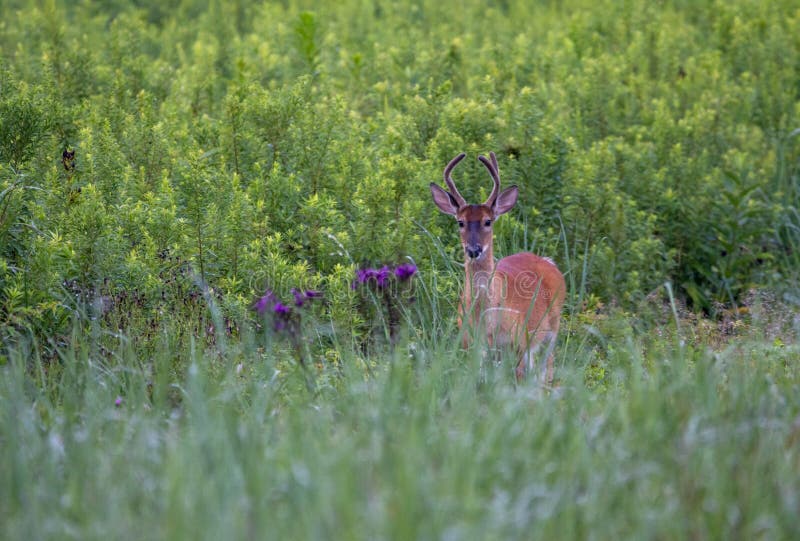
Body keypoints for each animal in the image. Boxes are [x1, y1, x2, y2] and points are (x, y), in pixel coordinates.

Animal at [430, 152, 566, 383]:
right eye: (460, 222)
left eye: (488, 221)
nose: (473, 250)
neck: (486, 320)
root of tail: (548, 262)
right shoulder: (470, 344)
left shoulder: (519, 341)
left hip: (552, 329)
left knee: (547, 367)